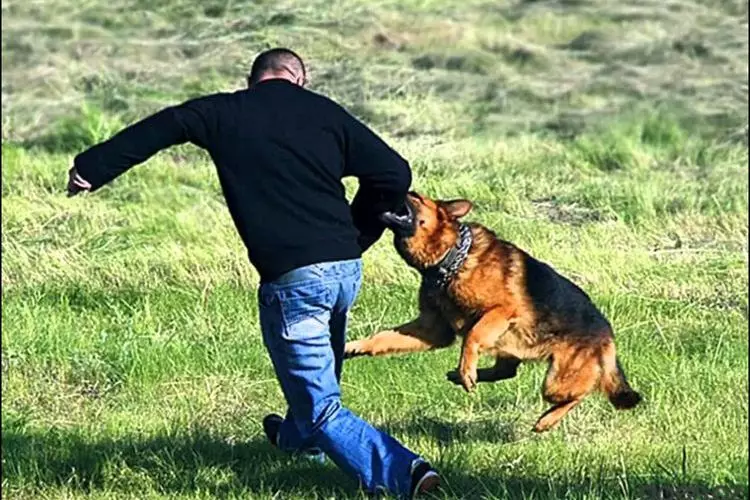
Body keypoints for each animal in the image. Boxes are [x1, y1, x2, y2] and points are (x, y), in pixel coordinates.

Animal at [344, 192, 644, 434]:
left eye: (415, 197)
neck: (453, 259)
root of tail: (607, 334)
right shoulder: (433, 330)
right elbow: (383, 338)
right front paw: (356, 346)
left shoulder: (500, 310)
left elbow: (472, 337)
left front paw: (466, 367)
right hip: (516, 350)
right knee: (507, 372)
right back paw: (467, 376)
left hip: (555, 382)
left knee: (580, 394)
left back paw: (545, 419)